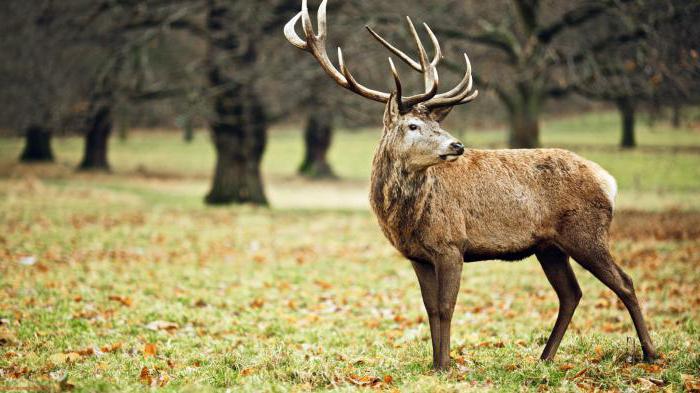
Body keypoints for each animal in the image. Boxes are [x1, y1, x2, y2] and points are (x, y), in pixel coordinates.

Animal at [284, 0, 656, 370]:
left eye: (436, 124)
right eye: (414, 126)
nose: (457, 145)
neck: (406, 220)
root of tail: (608, 180)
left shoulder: (451, 244)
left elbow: (446, 307)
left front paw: (447, 365)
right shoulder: (418, 256)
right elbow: (430, 308)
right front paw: (435, 364)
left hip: (586, 231)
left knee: (624, 281)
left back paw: (650, 354)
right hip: (549, 246)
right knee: (571, 293)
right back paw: (545, 358)